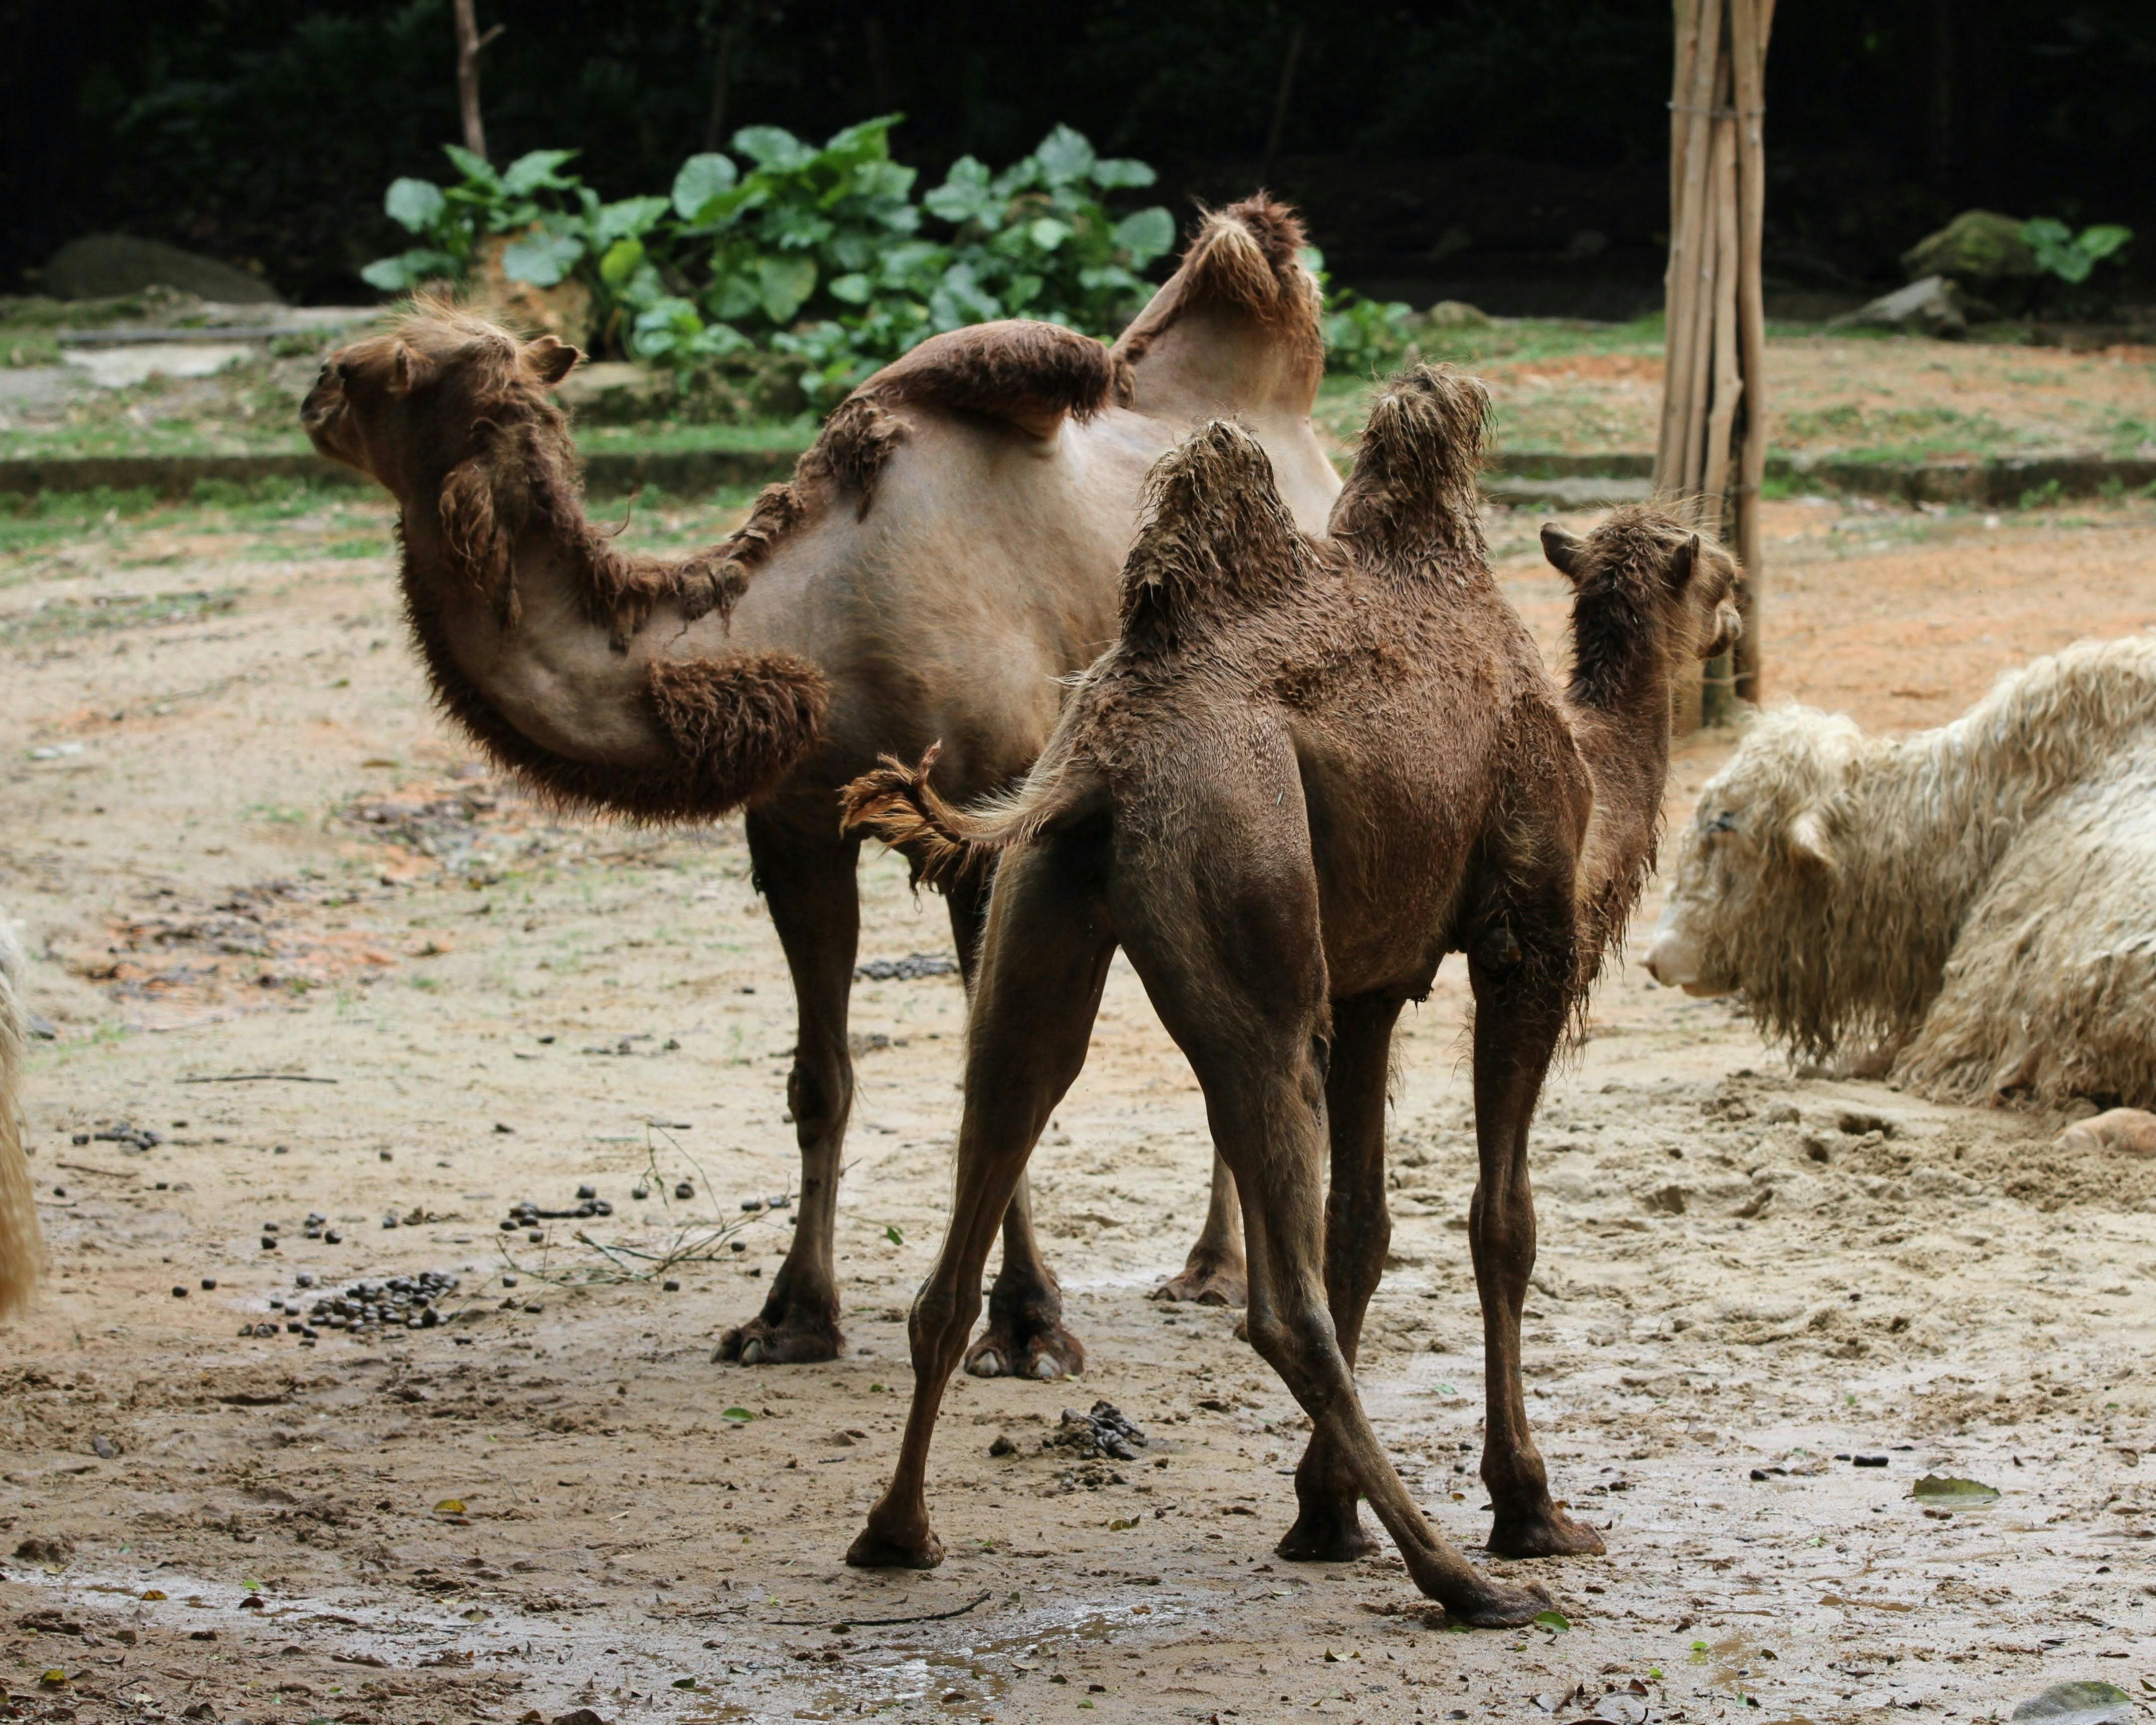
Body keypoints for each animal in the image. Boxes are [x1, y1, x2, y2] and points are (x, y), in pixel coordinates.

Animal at [299, 199, 1339, 1371]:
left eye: (391, 365)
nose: (316, 386)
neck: (818, 630)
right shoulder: (795, 828)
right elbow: (819, 1080)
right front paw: (791, 1315)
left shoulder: (989, 829)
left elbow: (996, 1070)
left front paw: (1026, 1324)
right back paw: (1209, 1267)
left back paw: (1226, 1273)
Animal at [839, 368, 1739, 1622]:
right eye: (1721, 577)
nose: (1739, 625)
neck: (1589, 766)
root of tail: (1096, 759)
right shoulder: (1525, 937)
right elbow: (1500, 1221)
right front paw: (1530, 1510)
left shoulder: (1374, 983)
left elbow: (1364, 1224)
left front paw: (1323, 1512)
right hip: (1253, 909)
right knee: (1278, 1290)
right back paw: (1460, 1577)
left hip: (1042, 913)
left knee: (993, 1152)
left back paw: (897, 1531)